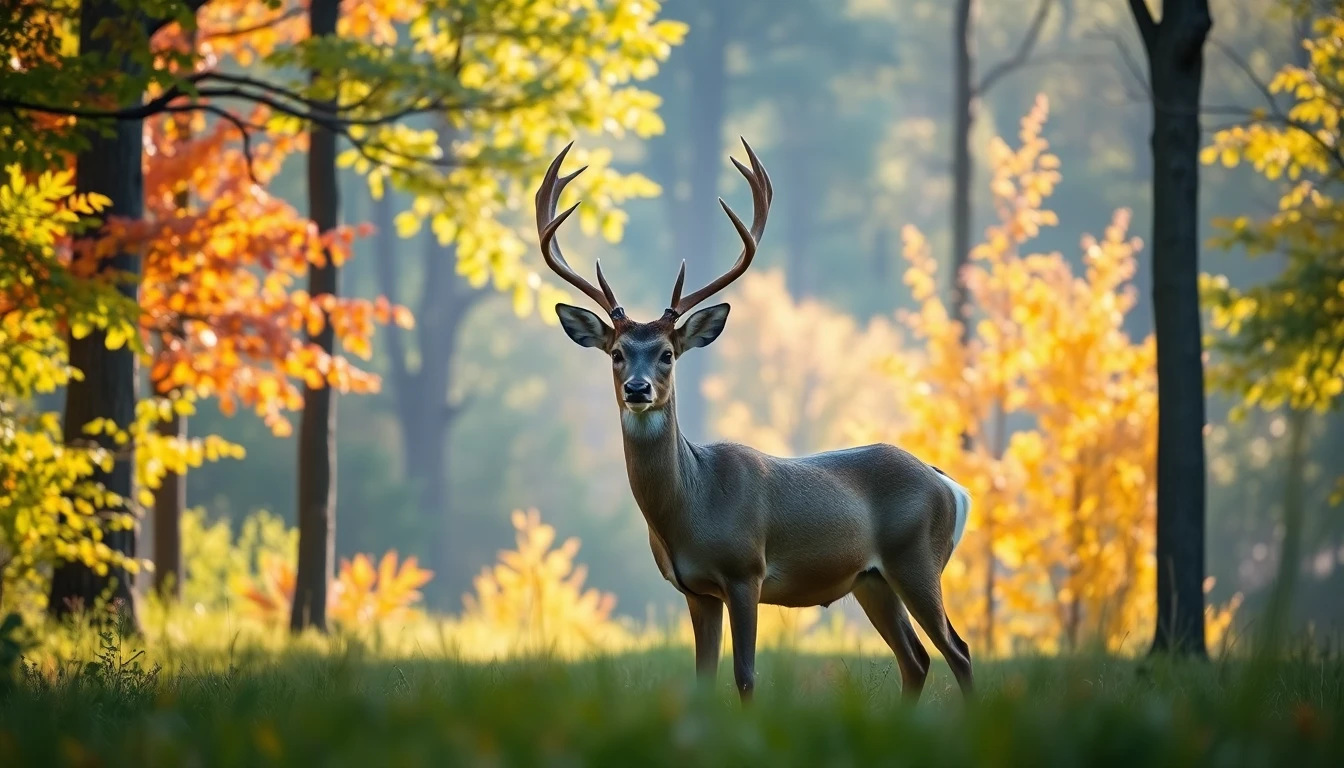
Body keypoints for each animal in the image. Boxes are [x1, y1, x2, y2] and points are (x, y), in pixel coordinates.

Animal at [534, 139, 974, 704]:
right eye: (616, 353)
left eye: (667, 354)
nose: (637, 389)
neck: (692, 506)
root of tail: (948, 484)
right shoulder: (696, 590)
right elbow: (702, 677)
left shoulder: (747, 572)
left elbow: (745, 675)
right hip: (870, 580)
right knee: (916, 658)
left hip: (917, 559)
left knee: (958, 650)